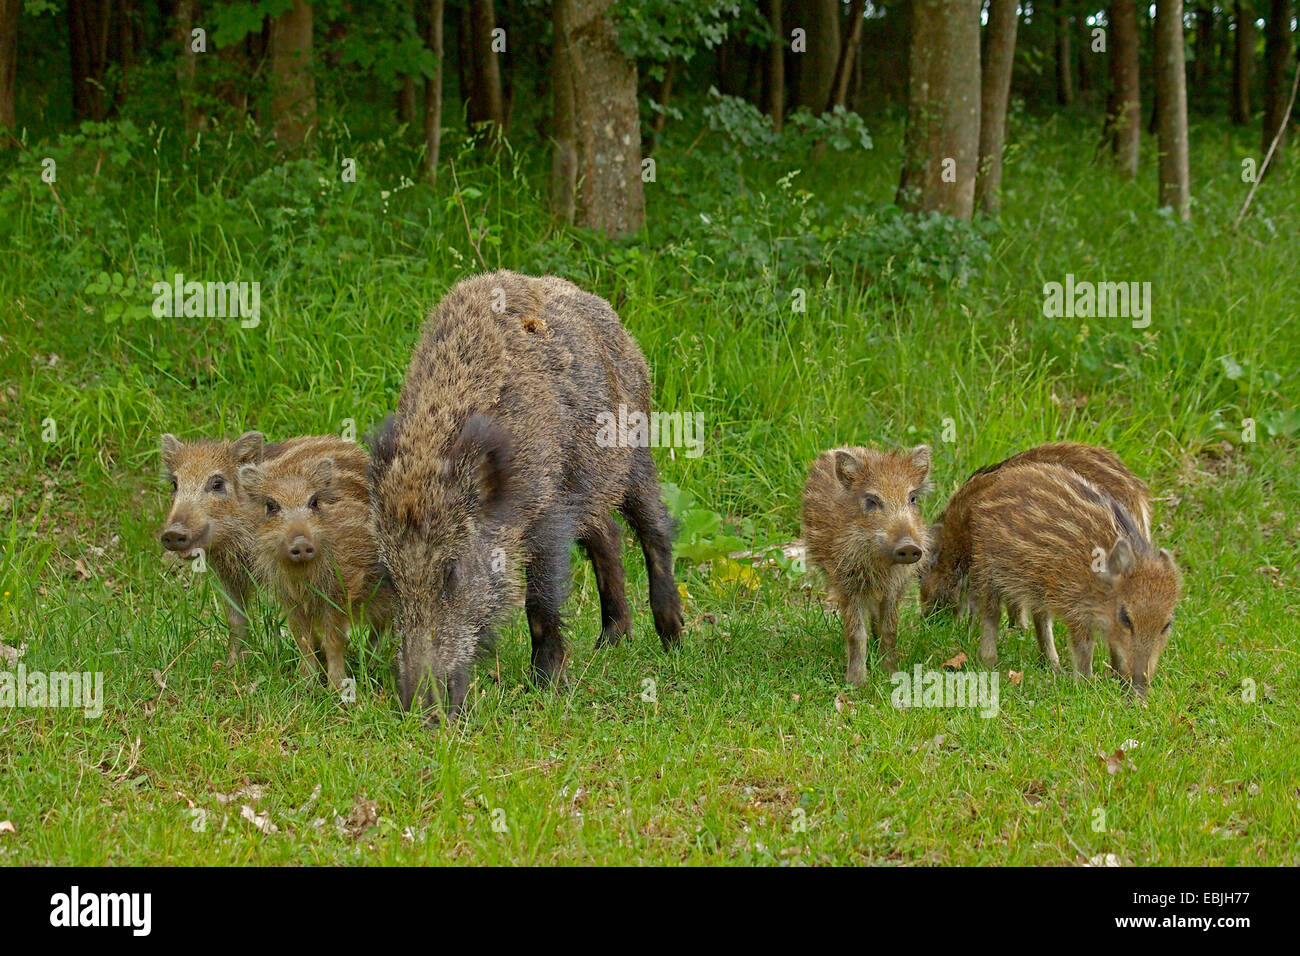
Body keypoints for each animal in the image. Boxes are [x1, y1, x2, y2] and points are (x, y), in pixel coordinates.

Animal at [159, 430, 278, 665]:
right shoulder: (229, 577)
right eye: (175, 484)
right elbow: (236, 620)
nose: (173, 533)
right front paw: (231, 666)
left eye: (217, 484)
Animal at [238, 436, 393, 690]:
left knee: (381, 625)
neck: (304, 576)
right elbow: (303, 640)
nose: (301, 543)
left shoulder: (339, 592)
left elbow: (335, 641)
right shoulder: (290, 599)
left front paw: (336, 687)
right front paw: (305, 684)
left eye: (314, 502)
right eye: (270, 505)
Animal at [369, 270, 683, 721]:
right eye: (390, 577)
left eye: (452, 572)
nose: (419, 710)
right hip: (588, 488)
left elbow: (541, 602)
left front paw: (547, 686)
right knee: (607, 535)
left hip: (633, 453)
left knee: (654, 526)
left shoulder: (548, 511)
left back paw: (672, 638)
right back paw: (610, 643)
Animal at [801, 445, 932, 683]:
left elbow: (890, 628)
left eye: (912, 498)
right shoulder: (847, 583)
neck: (882, 564)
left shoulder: (895, 586)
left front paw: (890, 672)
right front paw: (857, 682)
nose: (909, 546)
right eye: (872, 500)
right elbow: (856, 633)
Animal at [967, 461, 1181, 697]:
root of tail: (996, 485)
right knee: (991, 614)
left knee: (1040, 618)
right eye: (1126, 618)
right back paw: (989, 662)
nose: (1140, 692)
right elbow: (1085, 647)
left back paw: (1053, 666)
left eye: (1167, 624)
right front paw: (1086, 686)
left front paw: (1116, 680)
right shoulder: (1075, 607)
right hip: (988, 569)